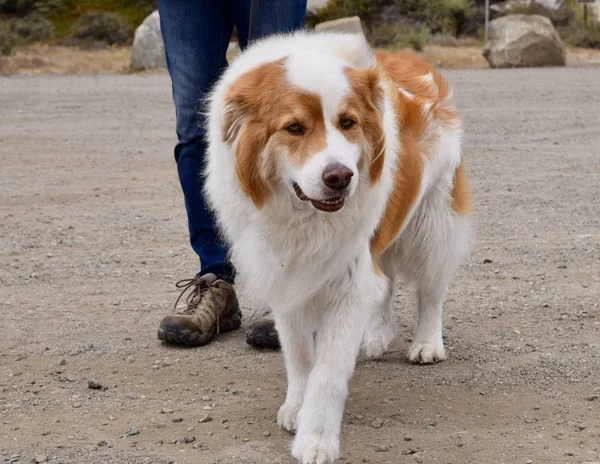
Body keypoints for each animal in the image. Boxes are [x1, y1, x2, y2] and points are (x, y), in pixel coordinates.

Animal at [204, 31, 472, 464]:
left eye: (348, 123)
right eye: (294, 127)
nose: (340, 177)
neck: (303, 218)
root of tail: (414, 61)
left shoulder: (349, 281)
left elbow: (327, 373)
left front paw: (316, 438)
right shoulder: (286, 276)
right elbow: (299, 357)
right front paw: (296, 407)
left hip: (434, 223)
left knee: (430, 292)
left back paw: (427, 344)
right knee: (386, 281)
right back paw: (378, 334)